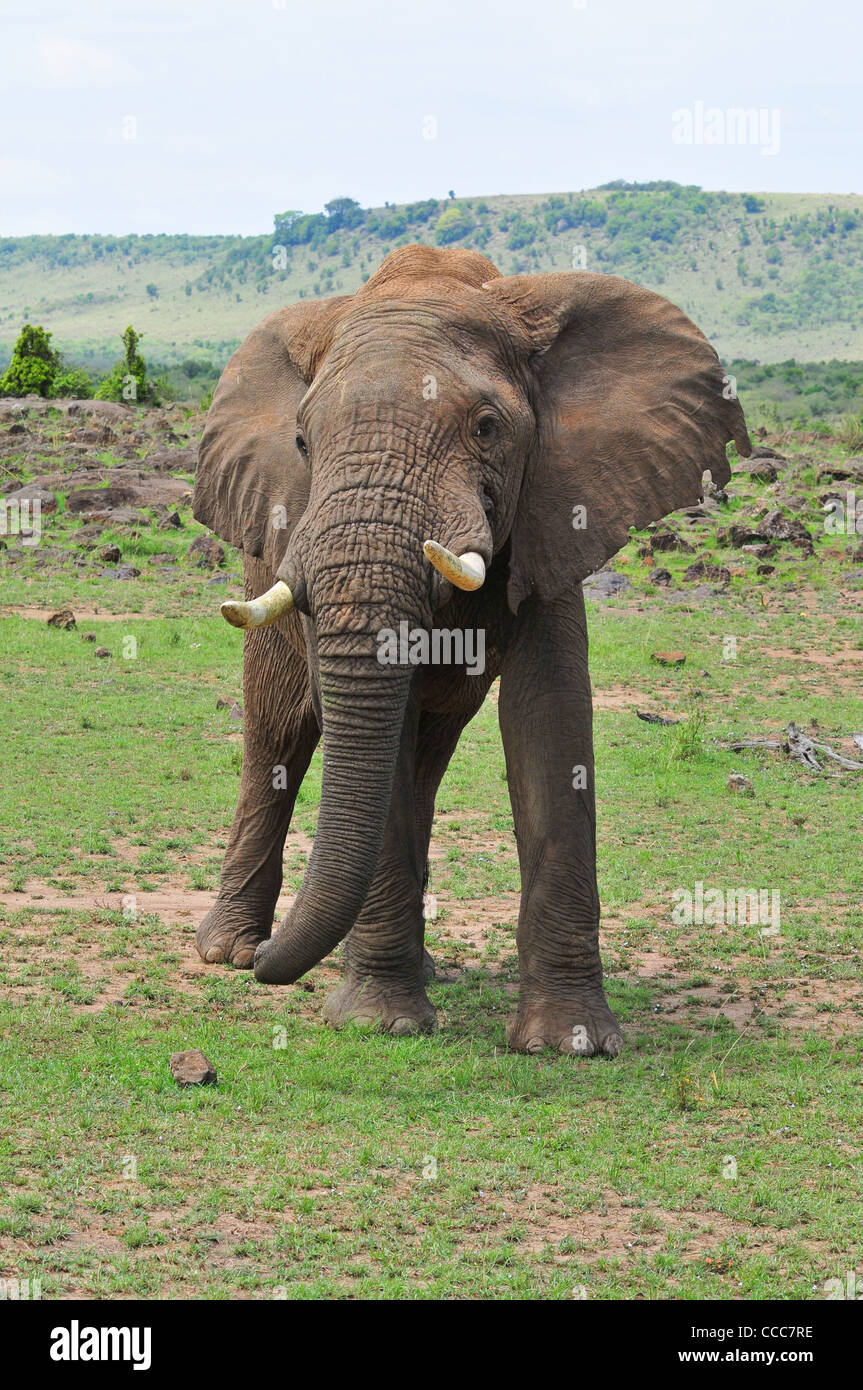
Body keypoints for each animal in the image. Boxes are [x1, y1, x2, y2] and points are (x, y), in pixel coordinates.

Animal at [191, 243, 750, 1057]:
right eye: (302, 442)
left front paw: (570, 1043)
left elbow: (547, 716)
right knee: (279, 733)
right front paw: (379, 1023)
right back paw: (228, 951)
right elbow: (367, 729)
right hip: (261, 569)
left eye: (487, 428)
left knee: (427, 750)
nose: (273, 963)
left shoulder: (558, 508)